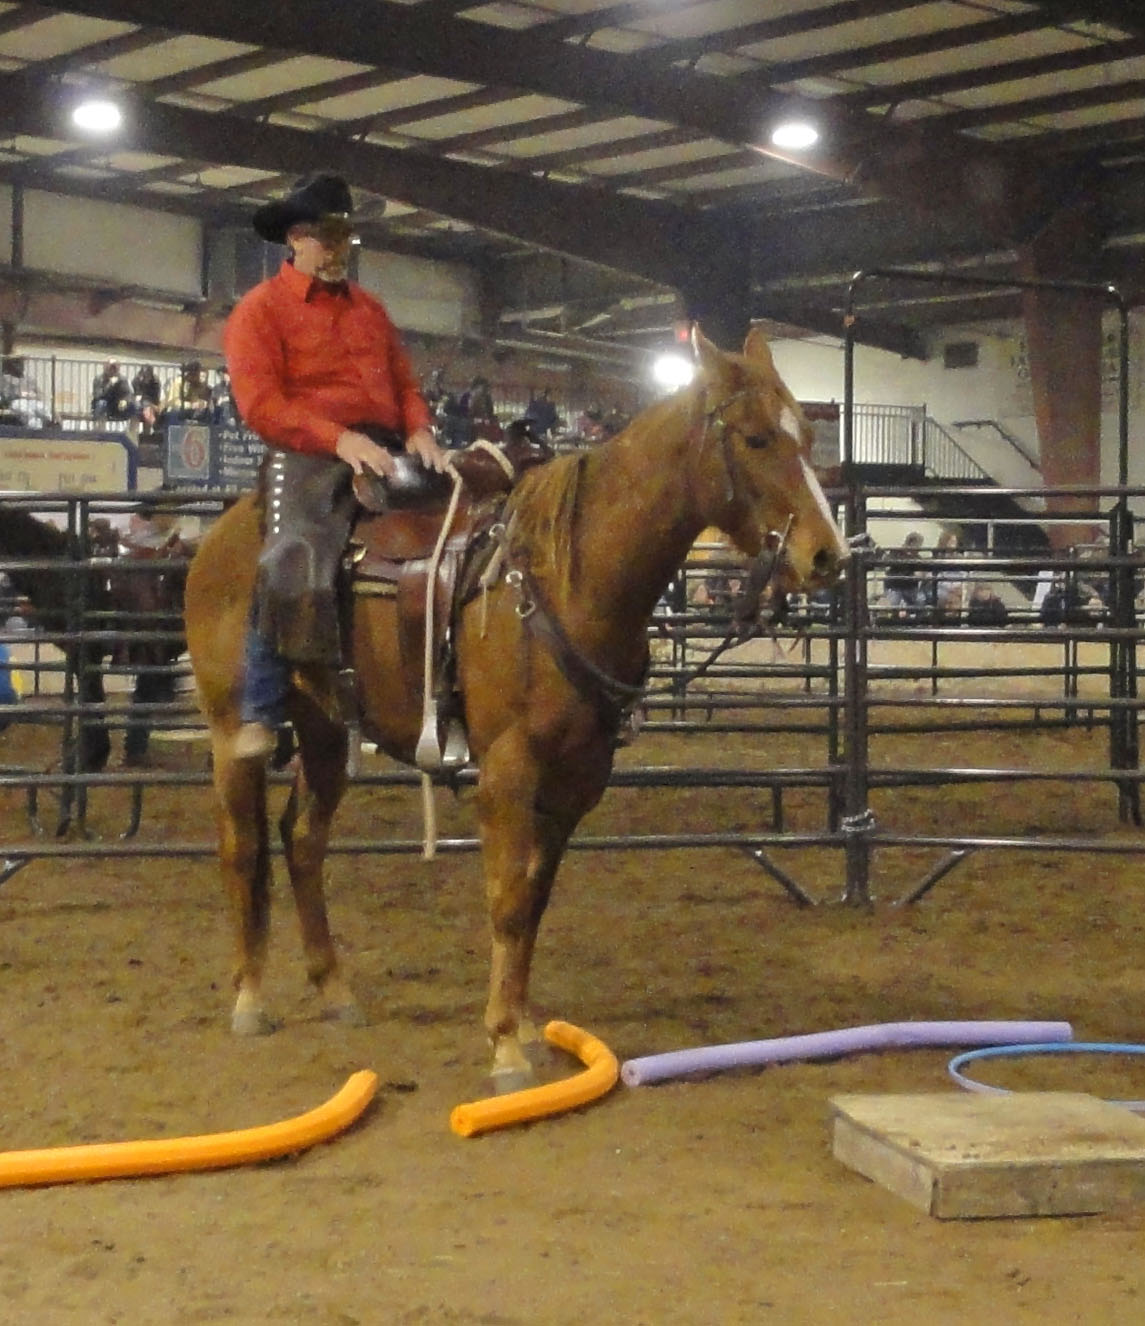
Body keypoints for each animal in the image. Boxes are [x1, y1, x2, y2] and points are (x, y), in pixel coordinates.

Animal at [185, 328, 848, 1086]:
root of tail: (222, 535)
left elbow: (534, 897)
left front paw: (527, 1024)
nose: (828, 555)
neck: (567, 579)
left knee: (302, 840)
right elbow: (504, 900)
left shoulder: (577, 779)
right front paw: (502, 1045)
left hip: (325, 730)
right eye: (756, 437)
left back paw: (334, 989)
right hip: (235, 727)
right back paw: (250, 1000)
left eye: (807, 436)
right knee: (241, 846)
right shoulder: (507, 770)